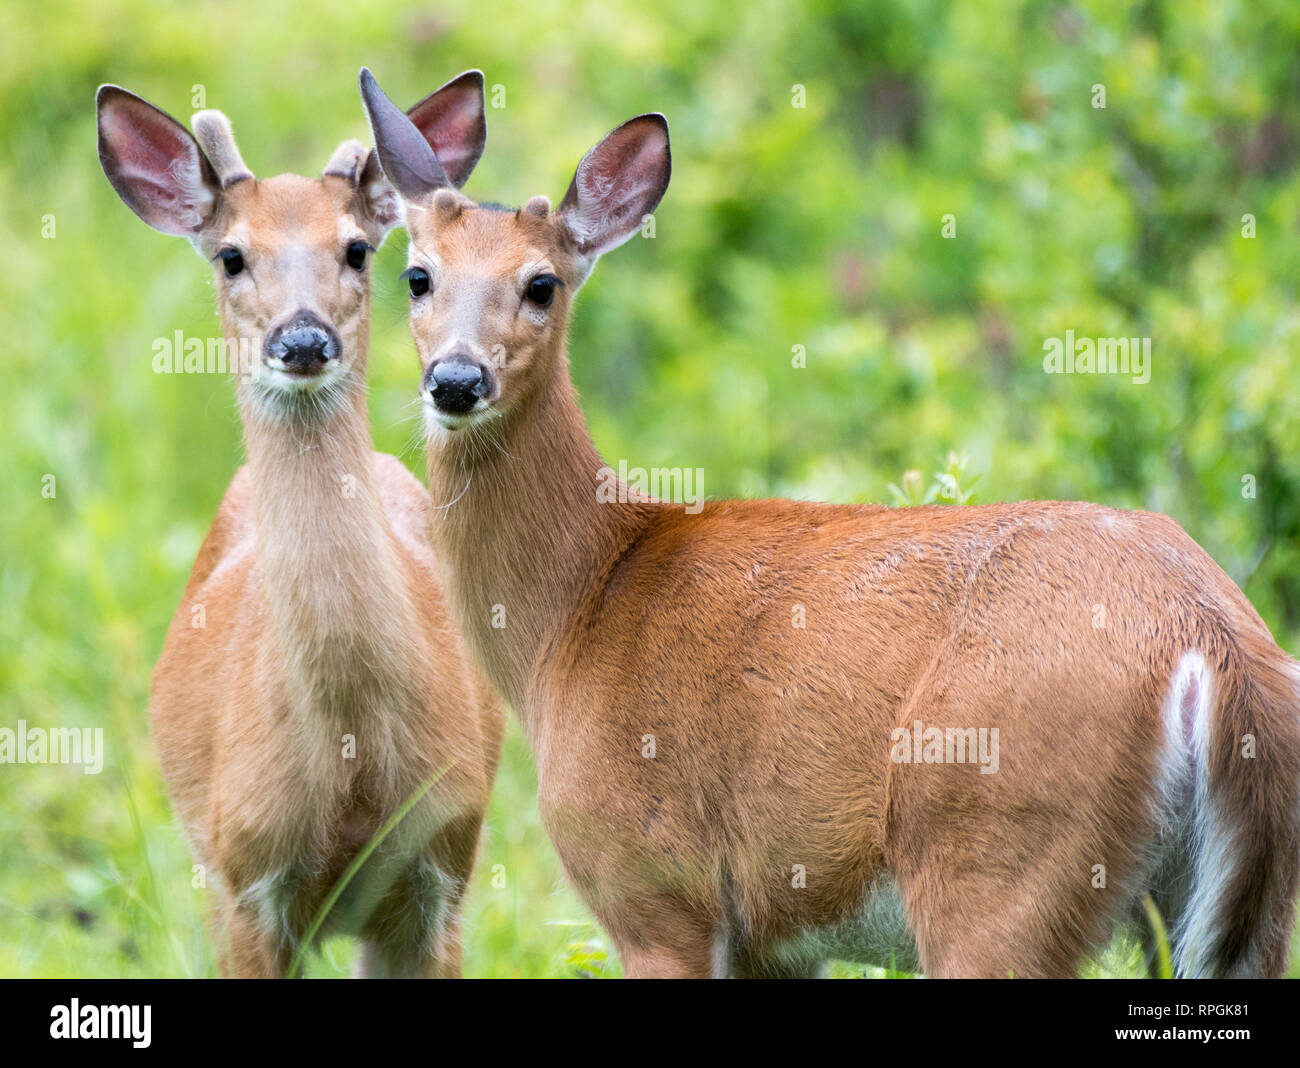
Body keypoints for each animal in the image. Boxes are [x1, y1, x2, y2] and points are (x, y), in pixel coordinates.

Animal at [96, 77, 503, 978]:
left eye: (356, 249)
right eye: (231, 255)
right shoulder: (244, 880)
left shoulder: (443, 872)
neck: (350, 768)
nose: (304, 337)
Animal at [359, 68, 1300, 979]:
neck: (575, 613)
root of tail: (1210, 643)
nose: (456, 380)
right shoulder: (779, 942)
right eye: (418, 275)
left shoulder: (654, 885)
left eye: (541, 284)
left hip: (994, 858)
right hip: (1241, 913)